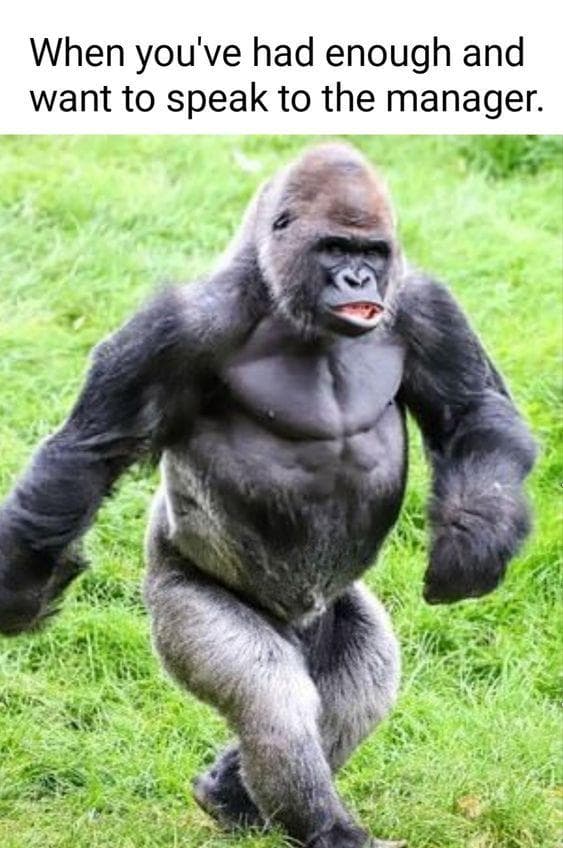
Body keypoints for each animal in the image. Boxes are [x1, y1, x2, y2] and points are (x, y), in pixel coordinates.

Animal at [0, 143, 536, 847]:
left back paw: (232, 793)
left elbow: (473, 413)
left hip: (335, 610)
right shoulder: (178, 326)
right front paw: (22, 591)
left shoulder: (426, 304)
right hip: (176, 598)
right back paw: (327, 827)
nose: (359, 282)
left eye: (372, 253)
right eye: (335, 249)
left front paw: (472, 546)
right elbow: (91, 449)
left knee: (359, 685)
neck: (282, 298)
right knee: (273, 699)